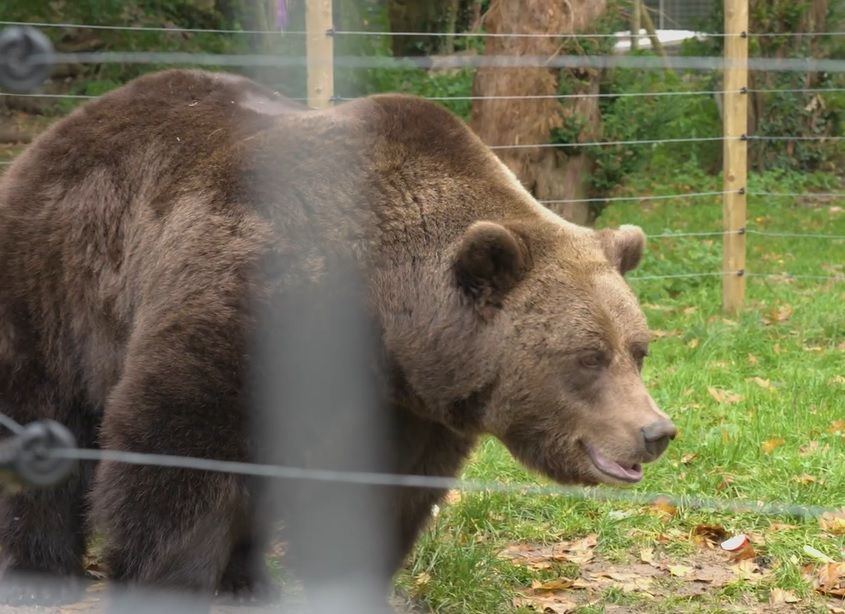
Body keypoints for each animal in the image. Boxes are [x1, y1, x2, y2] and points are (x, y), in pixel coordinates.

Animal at [0, 69, 675, 608]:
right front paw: (167, 582)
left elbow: (379, 494)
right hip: (60, 283)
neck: (388, 306)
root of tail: (62, 128)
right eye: (587, 357)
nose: (655, 431)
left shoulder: (408, 406)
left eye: (638, 351)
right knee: (42, 418)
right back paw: (38, 574)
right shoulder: (245, 302)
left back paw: (246, 581)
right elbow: (175, 452)